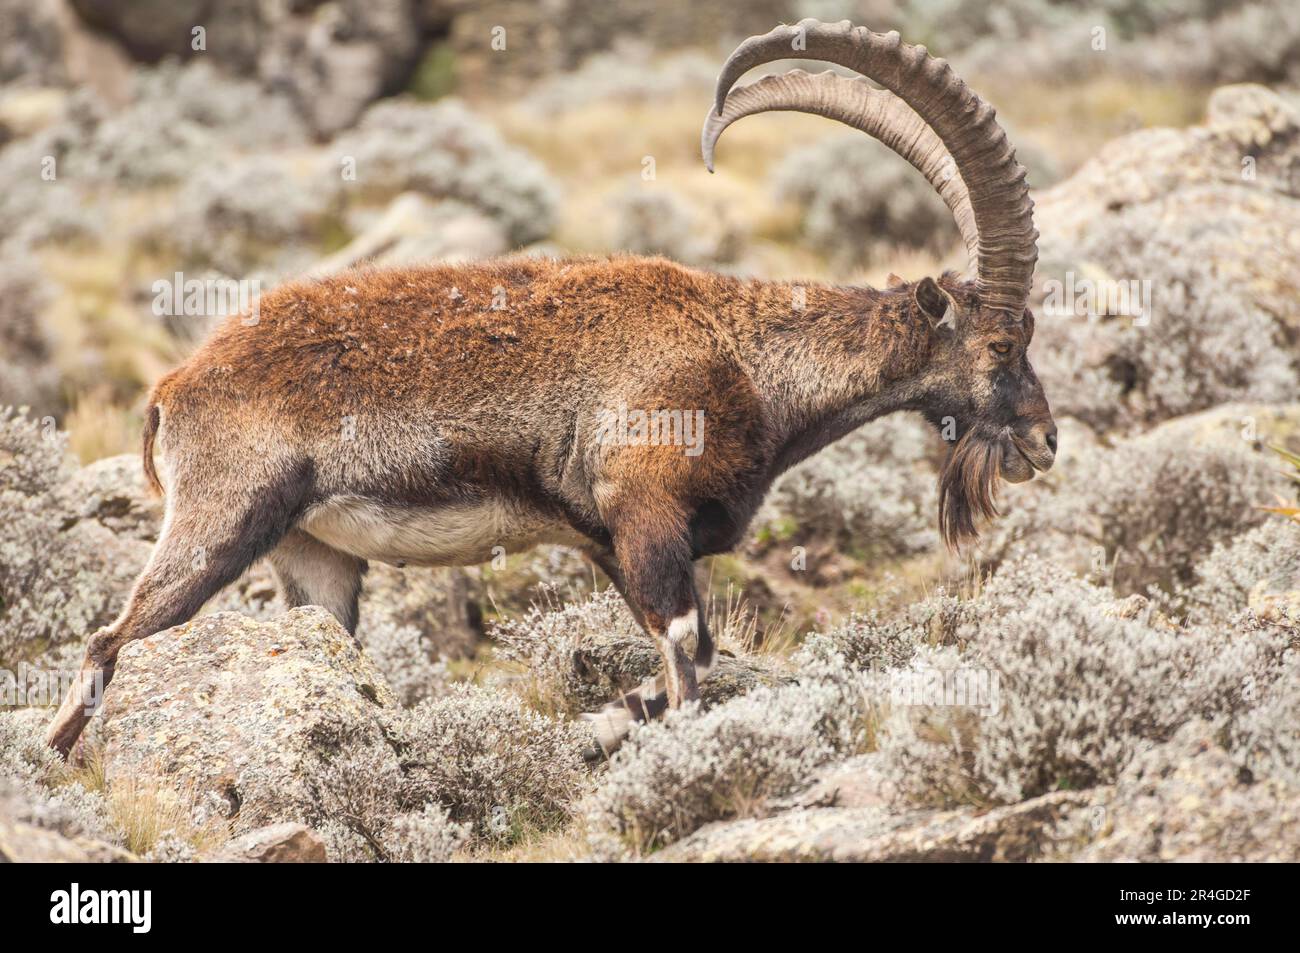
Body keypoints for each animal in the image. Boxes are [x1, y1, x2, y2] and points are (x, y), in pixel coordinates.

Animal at [47, 19, 1056, 757]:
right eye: (1004, 340)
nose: (1046, 441)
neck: (743, 357)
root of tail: (175, 385)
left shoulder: (611, 540)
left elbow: (685, 653)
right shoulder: (644, 512)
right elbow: (688, 655)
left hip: (312, 555)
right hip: (221, 518)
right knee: (108, 644)